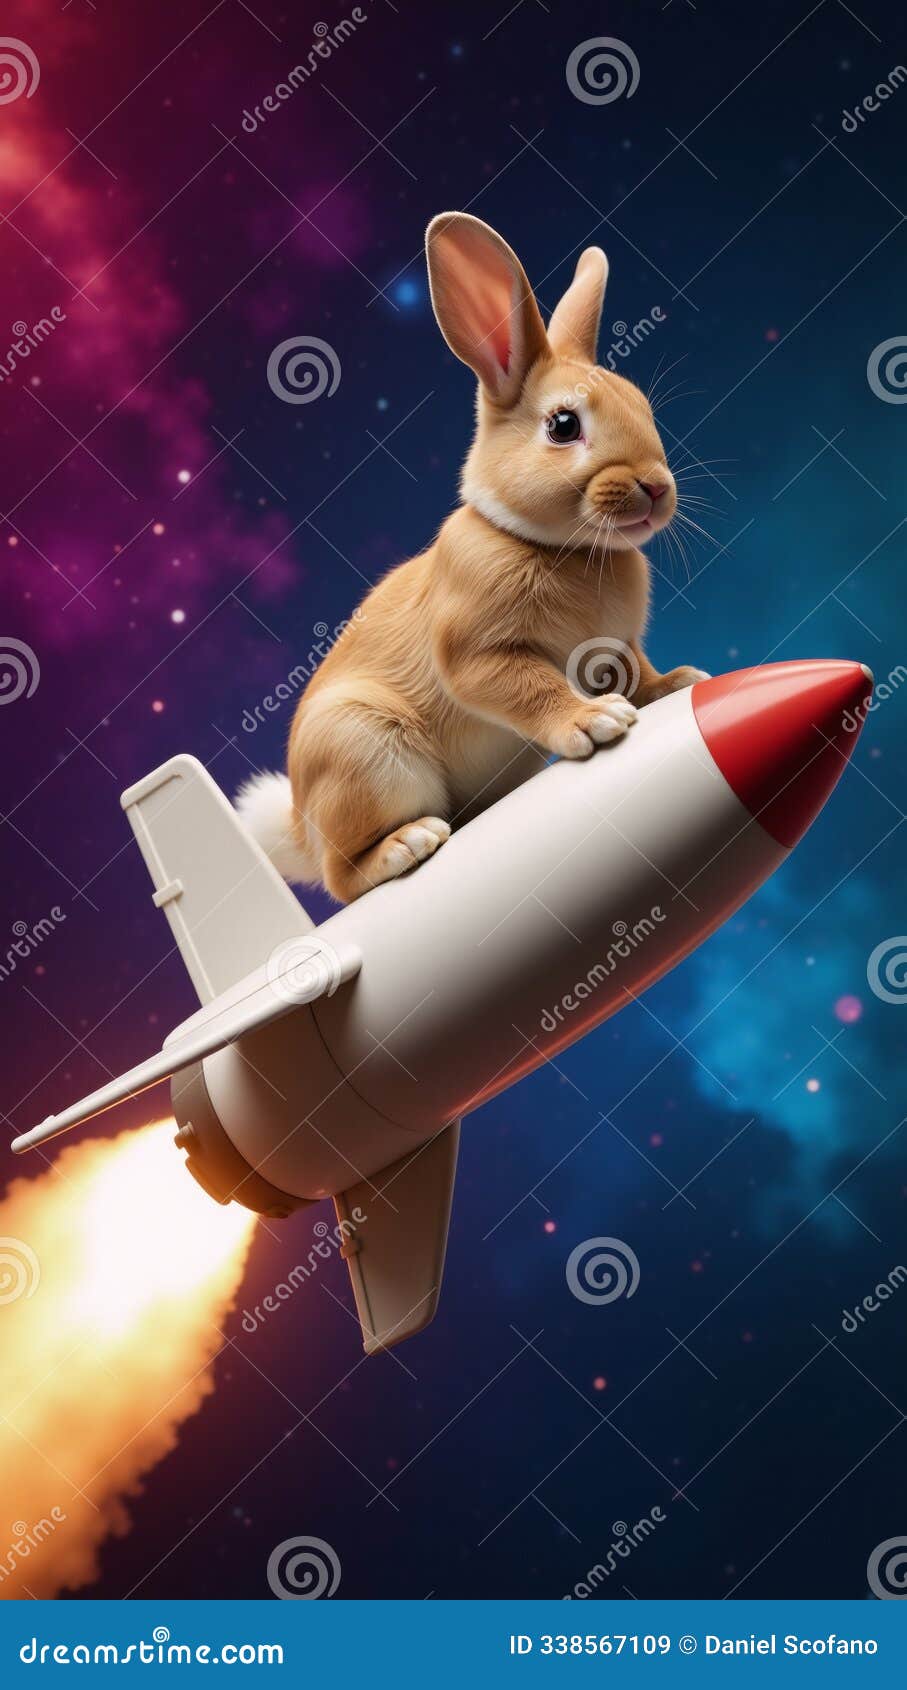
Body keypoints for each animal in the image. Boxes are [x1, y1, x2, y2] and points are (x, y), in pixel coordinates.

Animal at [237, 212, 707, 904]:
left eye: (644, 408)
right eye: (563, 425)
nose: (656, 487)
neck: (557, 546)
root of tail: (302, 826)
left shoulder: (616, 646)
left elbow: (638, 672)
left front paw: (677, 684)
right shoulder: (480, 655)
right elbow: (533, 689)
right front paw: (593, 721)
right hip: (366, 755)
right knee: (345, 879)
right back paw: (407, 844)